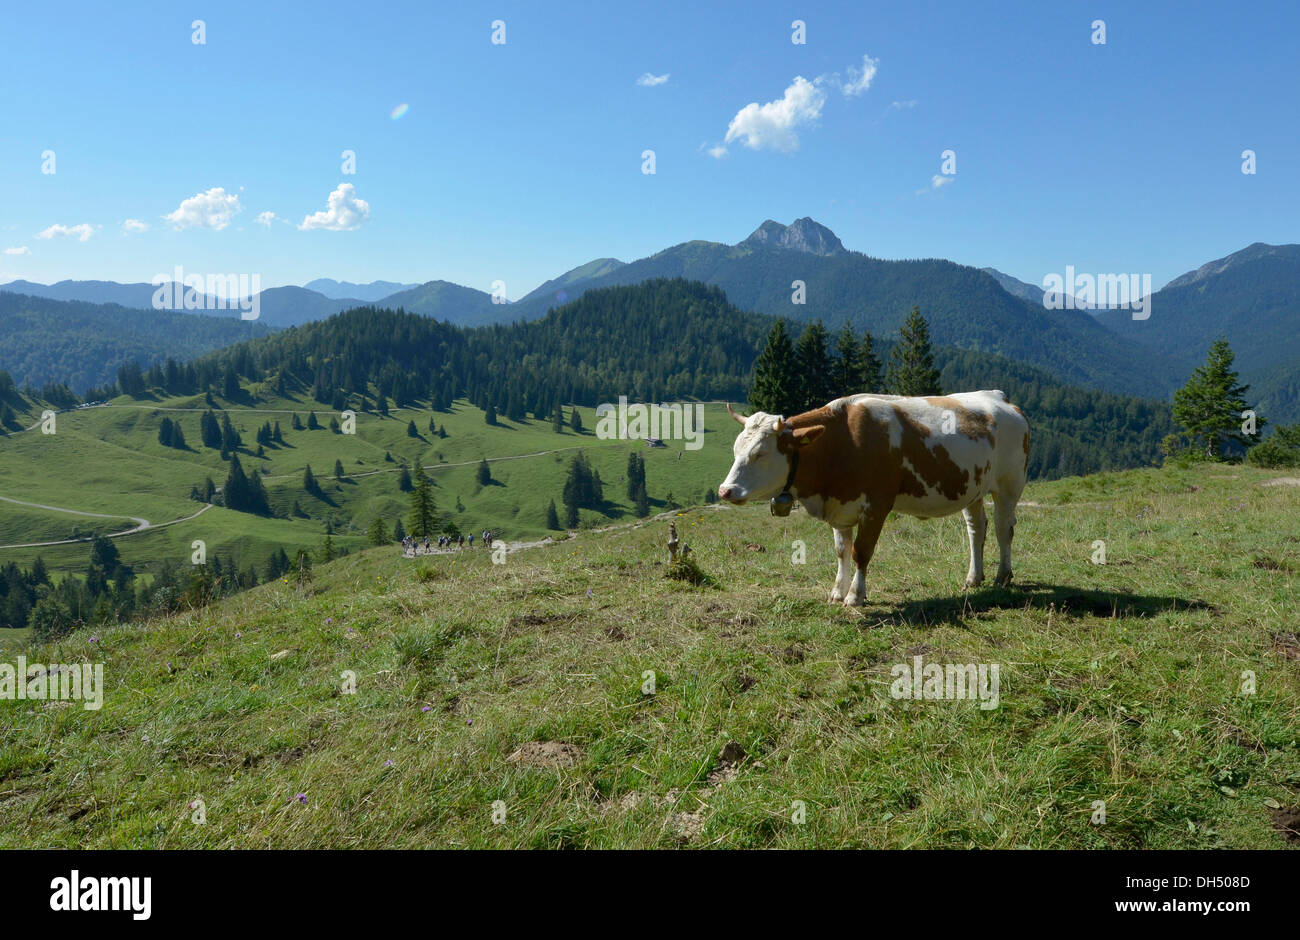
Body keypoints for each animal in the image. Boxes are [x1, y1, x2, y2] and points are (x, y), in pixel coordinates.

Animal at [718, 391, 1029, 606]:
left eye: (760, 453)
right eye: (734, 449)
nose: (725, 490)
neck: (842, 443)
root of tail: (999, 398)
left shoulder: (876, 507)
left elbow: (861, 552)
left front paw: (855, 596)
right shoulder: (841, 507)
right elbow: (841, 551)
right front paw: (836, 591)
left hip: (1009, 485)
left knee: (1003, 530)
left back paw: (1003, 576)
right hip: (972, 489)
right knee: (976, 530)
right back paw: (974, 578)